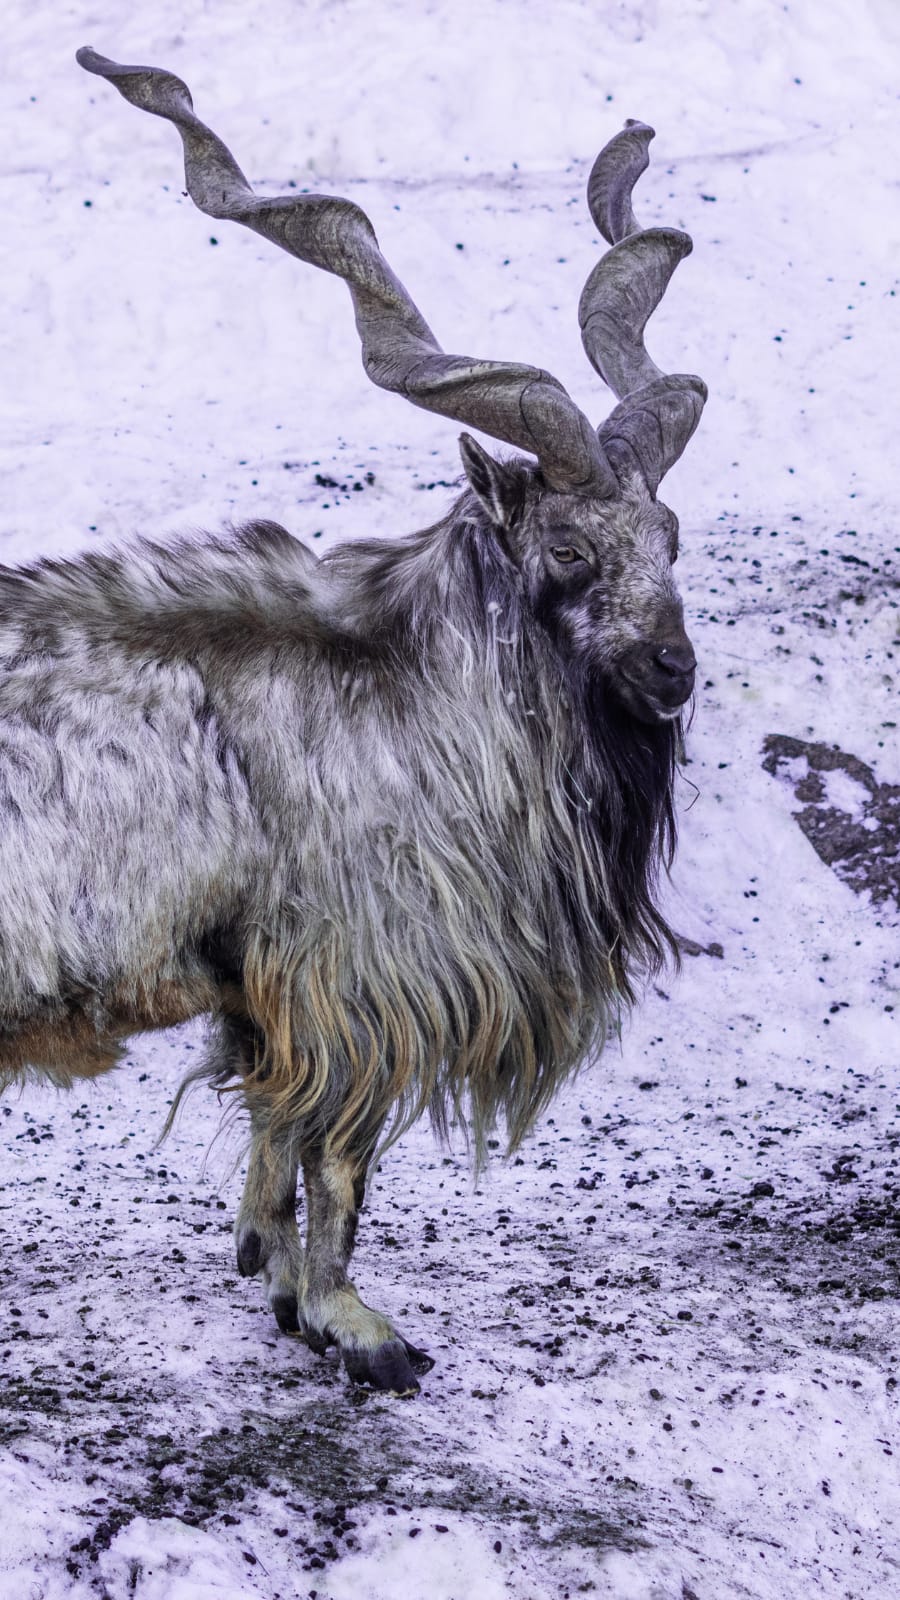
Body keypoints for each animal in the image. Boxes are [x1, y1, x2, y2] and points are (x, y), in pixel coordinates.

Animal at [0, 46, 706, 1396]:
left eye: (672, 538)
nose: (673, 669)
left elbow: (276, 1135)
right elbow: (339, 1154)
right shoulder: (357, 971)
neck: (414, 685)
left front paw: (276, 1278)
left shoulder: (265, 977)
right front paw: (355, 1324)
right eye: (572, 548)